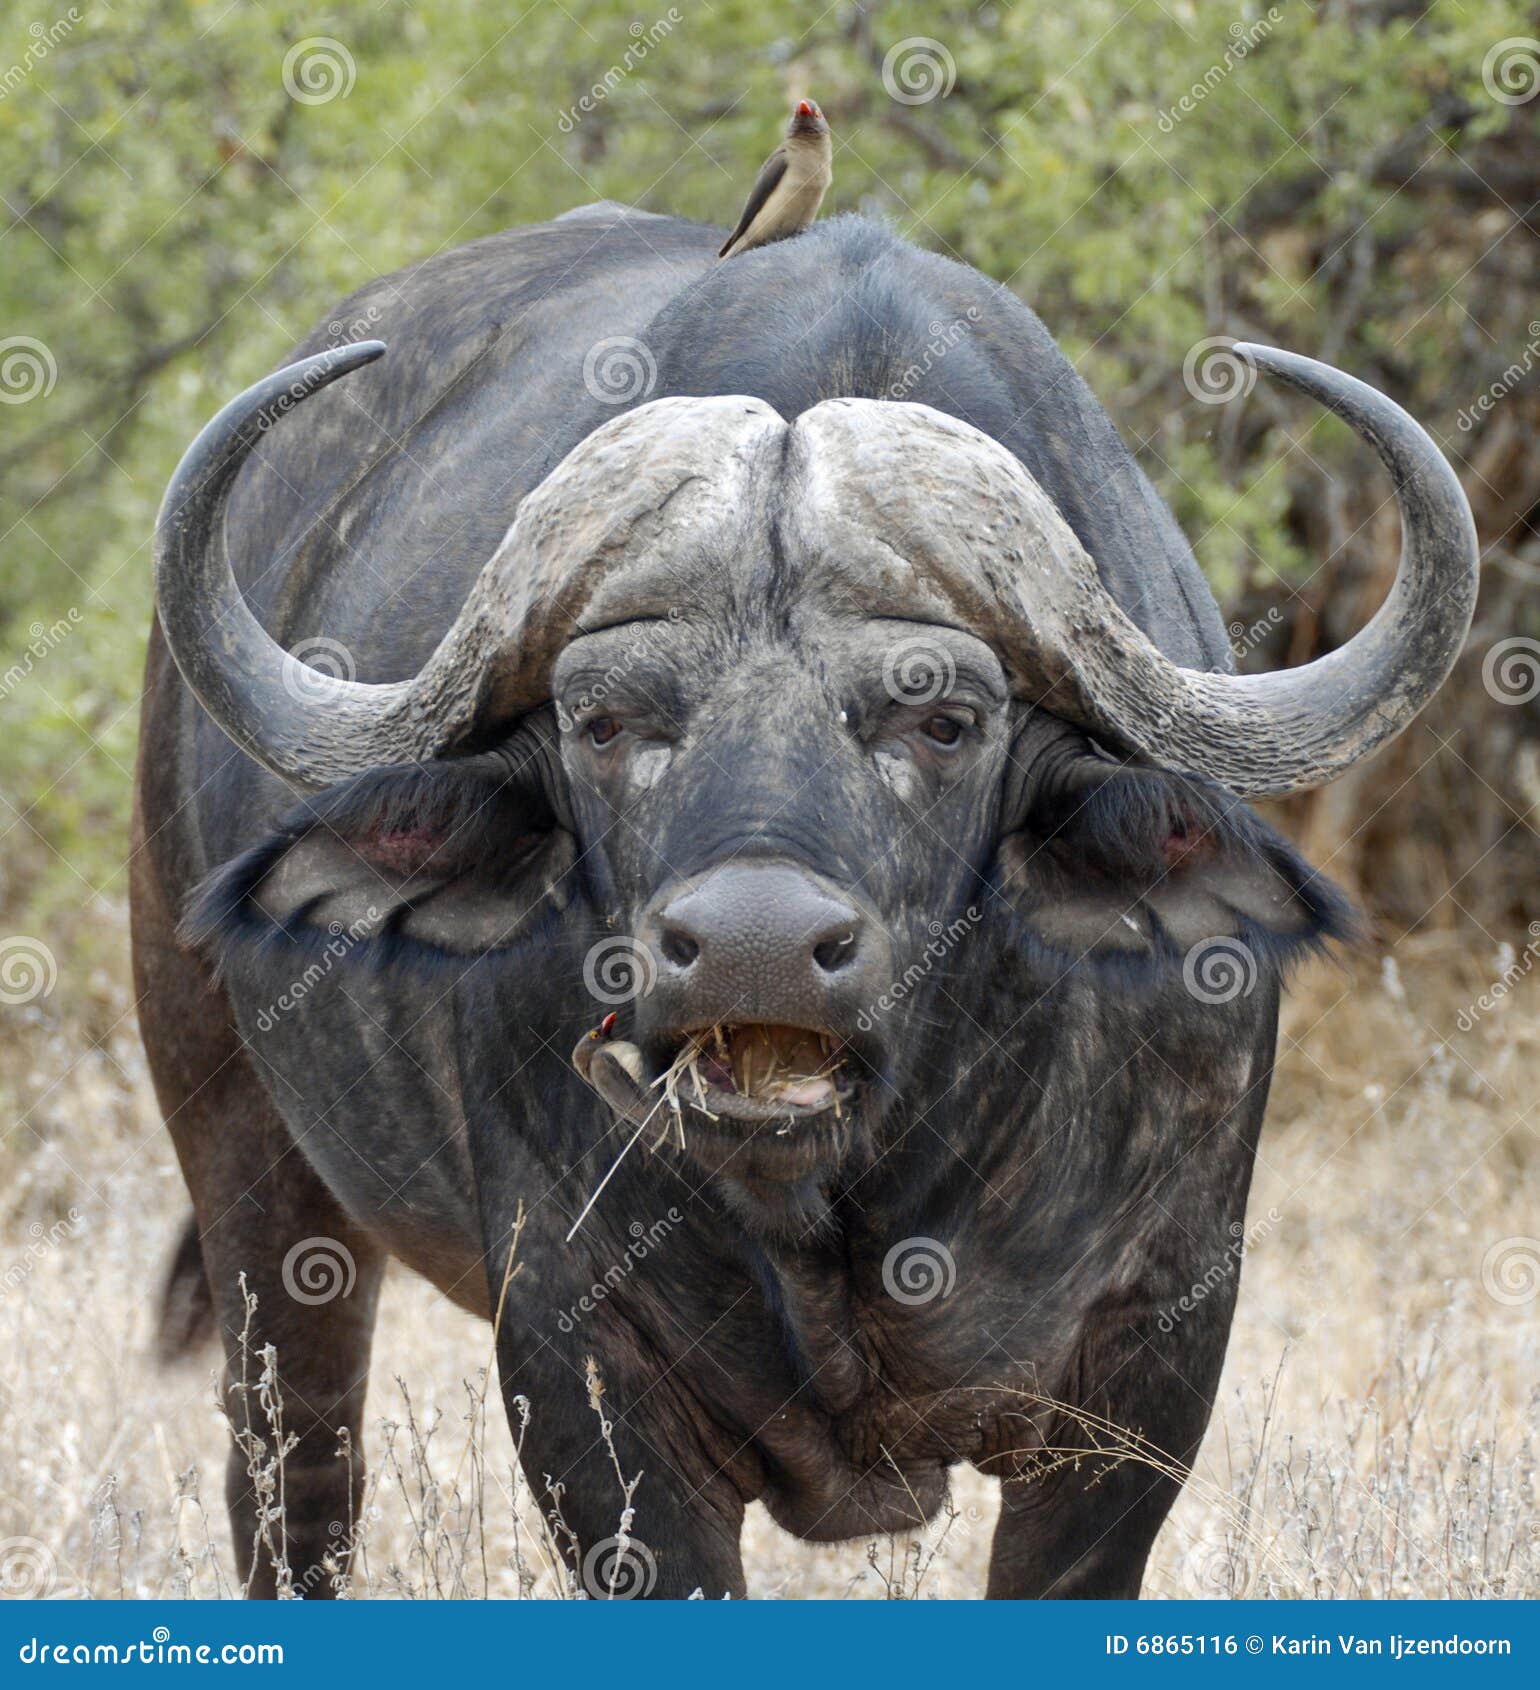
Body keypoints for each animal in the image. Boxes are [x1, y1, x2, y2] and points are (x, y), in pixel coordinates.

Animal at [134, 205, 1476, 1598]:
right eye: (603, 719)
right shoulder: (583, 1370)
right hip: (247, 1166)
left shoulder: (1147, 1365)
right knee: (297, 1481)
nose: (753, 950)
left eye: (944, 719)